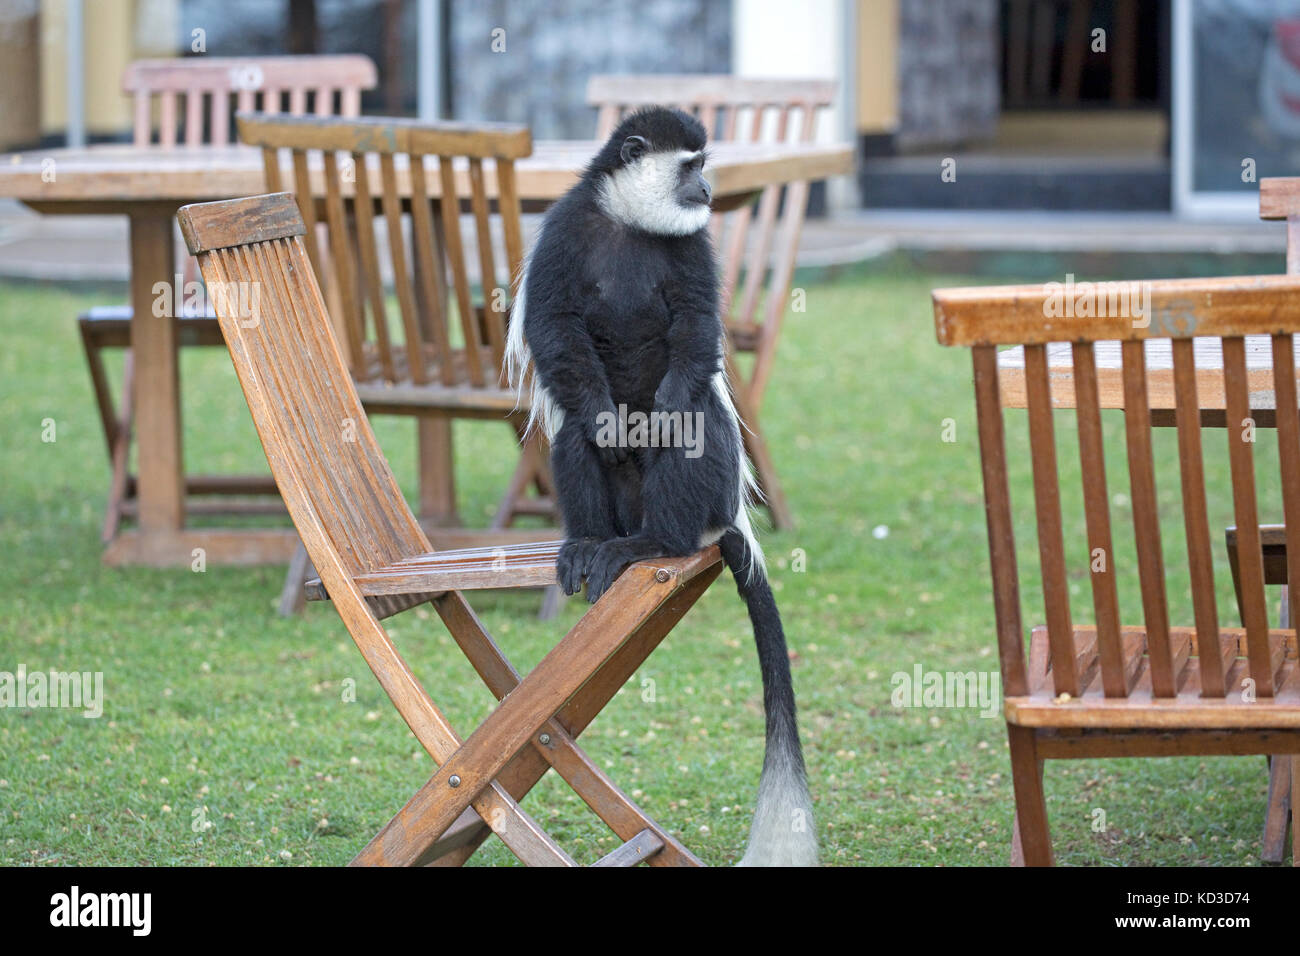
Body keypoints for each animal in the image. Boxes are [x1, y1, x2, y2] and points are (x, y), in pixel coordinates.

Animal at [504, 107, 817, 866]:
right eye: (690, 166)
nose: (707, 191)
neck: (628, 225)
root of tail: (726, 520)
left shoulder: (692, 250)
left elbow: (696, 329)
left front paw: (667, 410)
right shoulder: (564, 231)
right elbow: (555, 327)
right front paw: (611, 424)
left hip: (707, 489)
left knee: (694, 431)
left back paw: (653, 543)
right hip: (609, 490)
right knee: (575, 435)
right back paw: (590, 545)